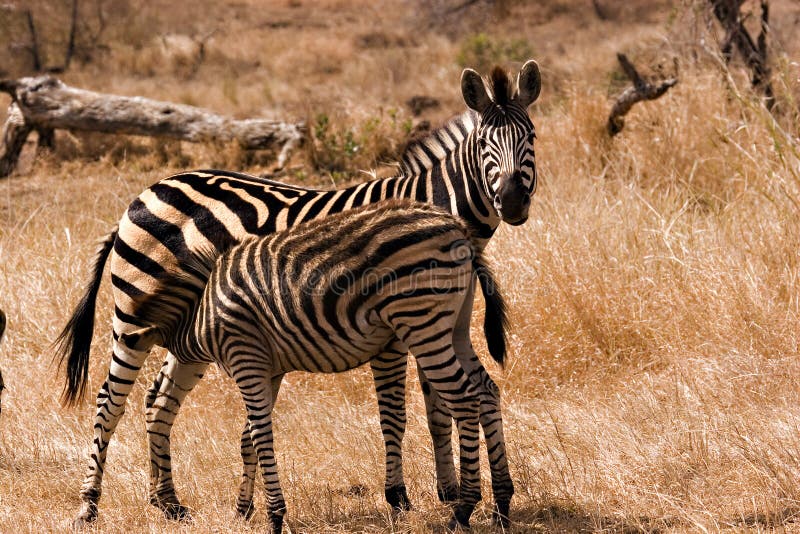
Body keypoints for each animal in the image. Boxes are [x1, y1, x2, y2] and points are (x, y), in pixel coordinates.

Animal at [118, 199, 508, 532]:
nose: (167, 509)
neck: (200, 312)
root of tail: (456, 226)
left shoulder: (245, 356)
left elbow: (260, 435)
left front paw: (275, 516)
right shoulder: (269, 369)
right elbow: (248, 438)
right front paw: (243, 510)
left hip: (421, 320)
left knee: (464, 399)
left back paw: (464, 509)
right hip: (454, 324)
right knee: (487, 391)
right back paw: (502, 503)